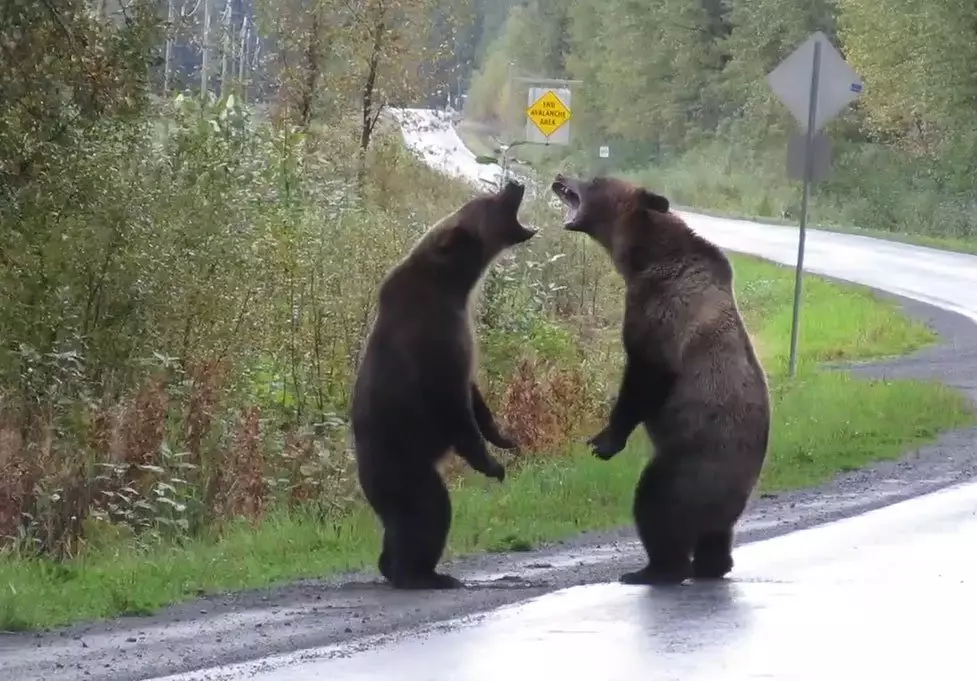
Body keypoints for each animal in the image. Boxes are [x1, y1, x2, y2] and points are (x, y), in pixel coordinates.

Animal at [348, 178, 532, 588]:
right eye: (487, 200)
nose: (514, 183)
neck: (455, 285)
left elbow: (474, 395)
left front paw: (505, 437)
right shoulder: (435, 341)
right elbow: (453, 405)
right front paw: (492, 465)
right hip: (403, 462)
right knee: (429, 509)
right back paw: (421, 574)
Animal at [548, 173, 772, 580]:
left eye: (595, 180)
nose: (560, 176)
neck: (642, 258)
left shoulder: (660, 310)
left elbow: (645, 375)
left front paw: (604, 440)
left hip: (692, 462)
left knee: (655, 503)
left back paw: (654, 569)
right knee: (716, 535)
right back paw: (711, 565)